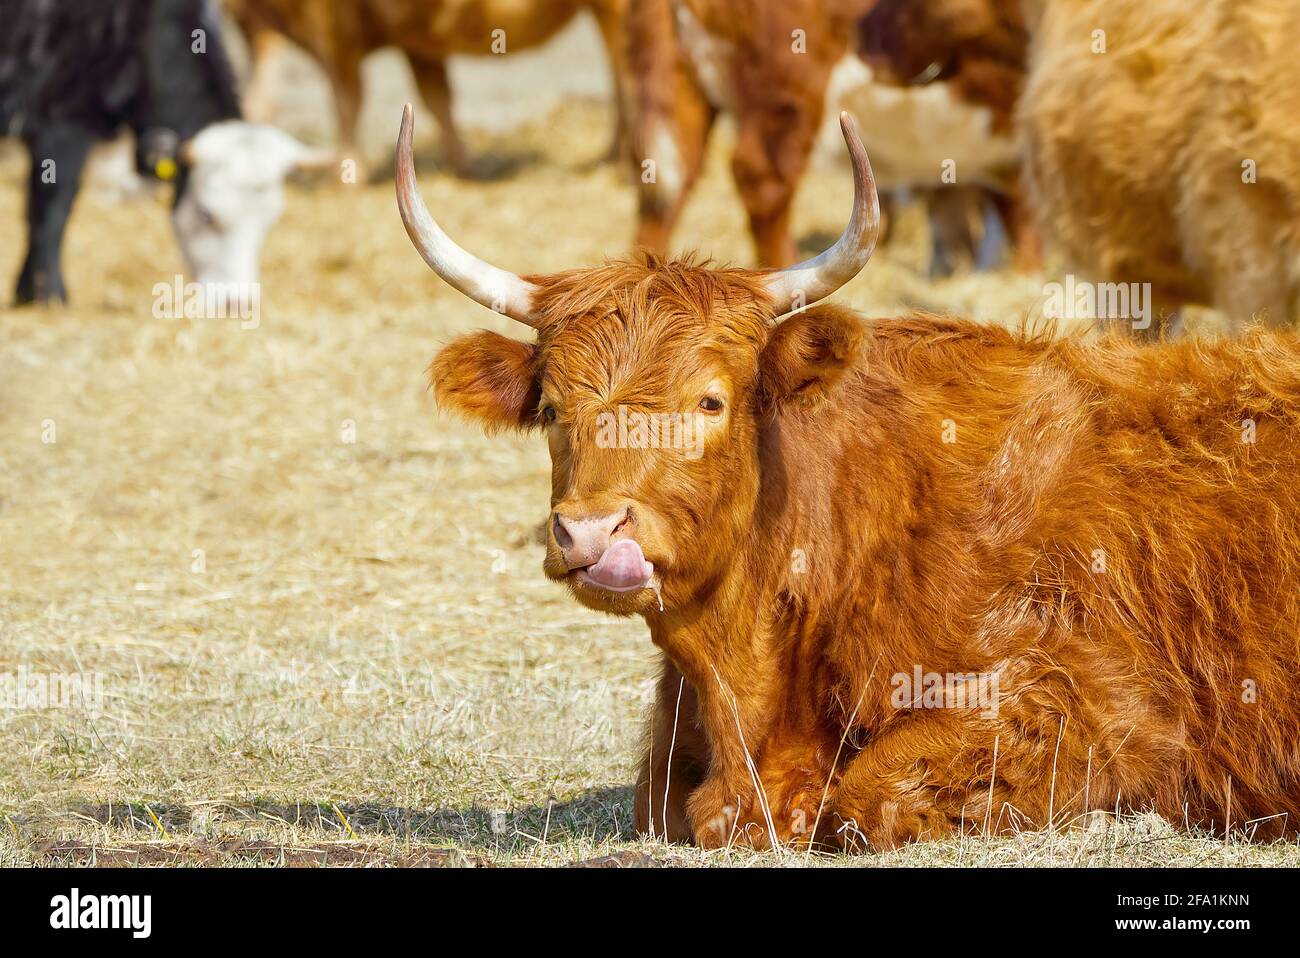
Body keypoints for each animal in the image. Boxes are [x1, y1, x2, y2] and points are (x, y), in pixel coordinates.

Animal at [0, 0, 326, 305]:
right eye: (206, 213)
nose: (236, 302)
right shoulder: (62, 123)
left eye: (271, 218)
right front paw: (47, 294)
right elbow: (51, 212)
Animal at [223, 0, 631, 179]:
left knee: (624, 74)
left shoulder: (332, 30)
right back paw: (610, 156)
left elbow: (347, 101)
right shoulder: (417, 45)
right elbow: (437, 99)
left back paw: (615, 159)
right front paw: (465, 165)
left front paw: (345, 177)